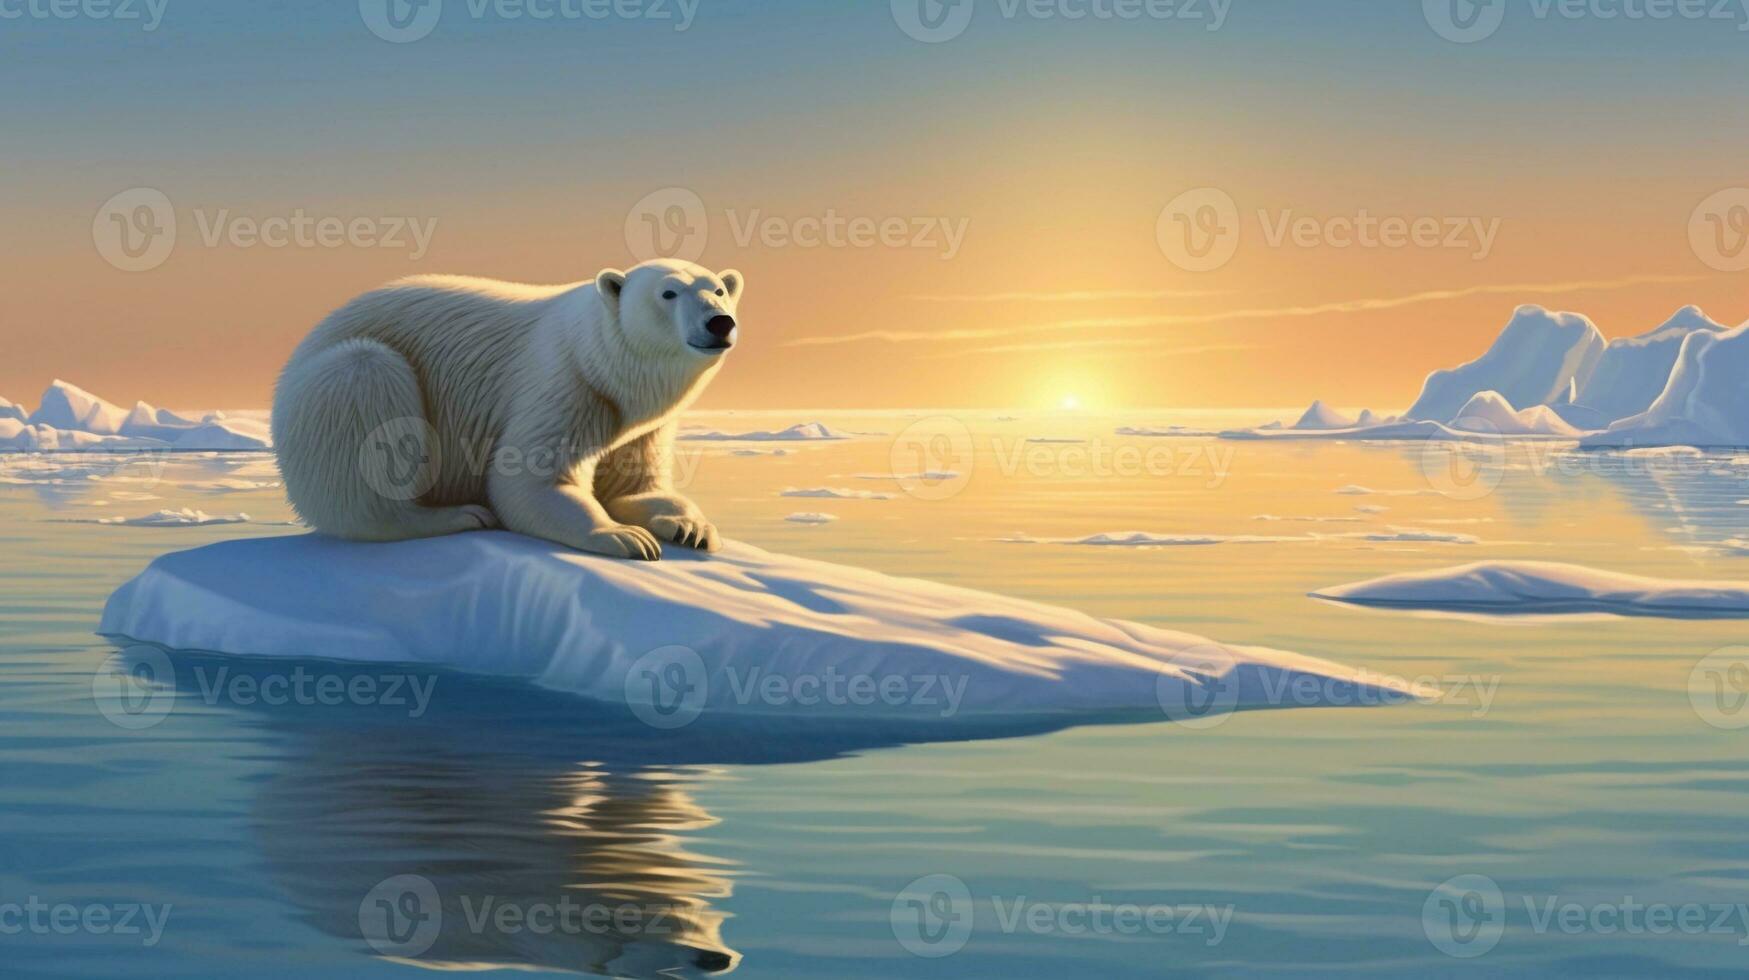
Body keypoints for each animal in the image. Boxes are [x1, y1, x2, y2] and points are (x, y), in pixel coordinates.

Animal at [270, 258, 742, 561]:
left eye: (719, 289)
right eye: (669, 292)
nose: (720, 321)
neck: (601, 360)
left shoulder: (638, 424)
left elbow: (633, 484)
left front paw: (690, 527)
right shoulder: (563, 384)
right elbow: (527, 480)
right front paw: (624, 536)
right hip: (335, 385)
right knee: (367, 385)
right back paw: (457, 515)